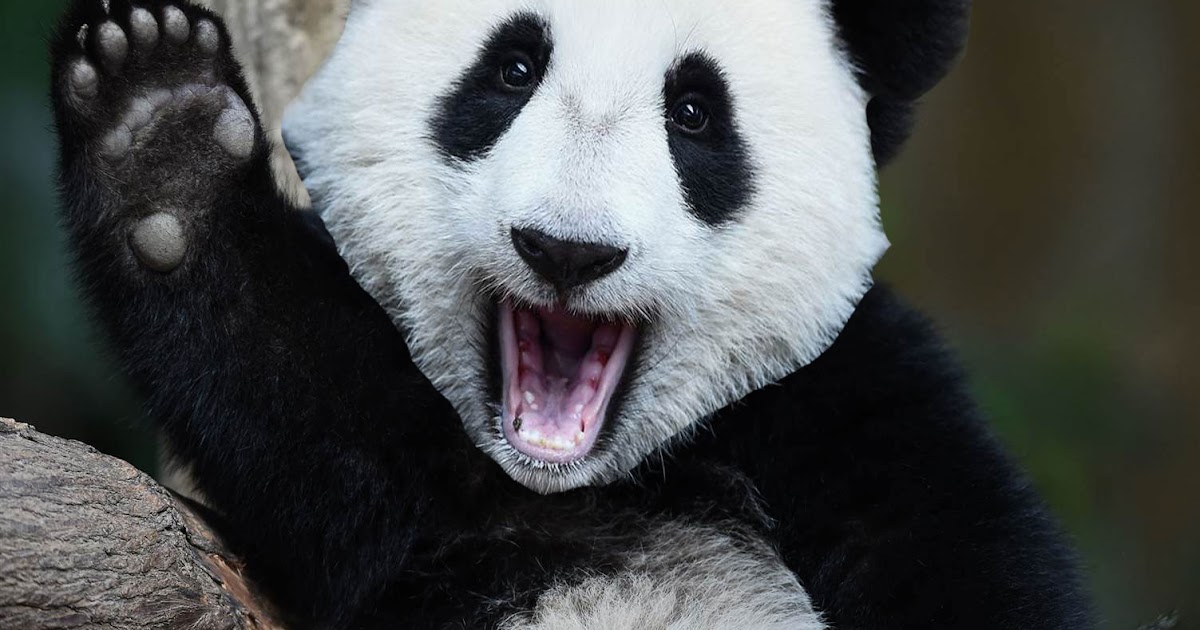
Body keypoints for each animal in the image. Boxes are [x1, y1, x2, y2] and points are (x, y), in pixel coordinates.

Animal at [50, 0, 1095, 628]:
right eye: (512, 69)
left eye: (694, 111)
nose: (567, 251)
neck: (584, 483)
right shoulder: (420, 524)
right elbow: (305, 412)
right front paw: (163, 133)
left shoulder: (849, 407)